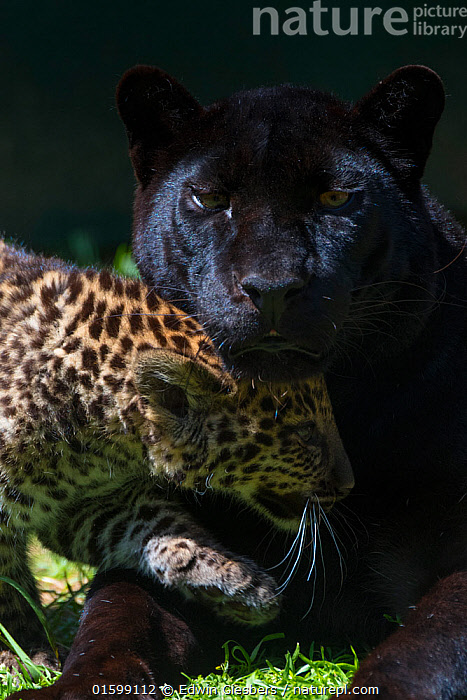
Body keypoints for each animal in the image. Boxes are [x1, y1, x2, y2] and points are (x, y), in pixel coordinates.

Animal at [0, 240, 353, 655]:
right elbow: (8, 595)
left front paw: (233, 580)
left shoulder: (87, 505)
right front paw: (25, 652)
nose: (349, 484)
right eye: (304, 433)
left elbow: (152, 526)